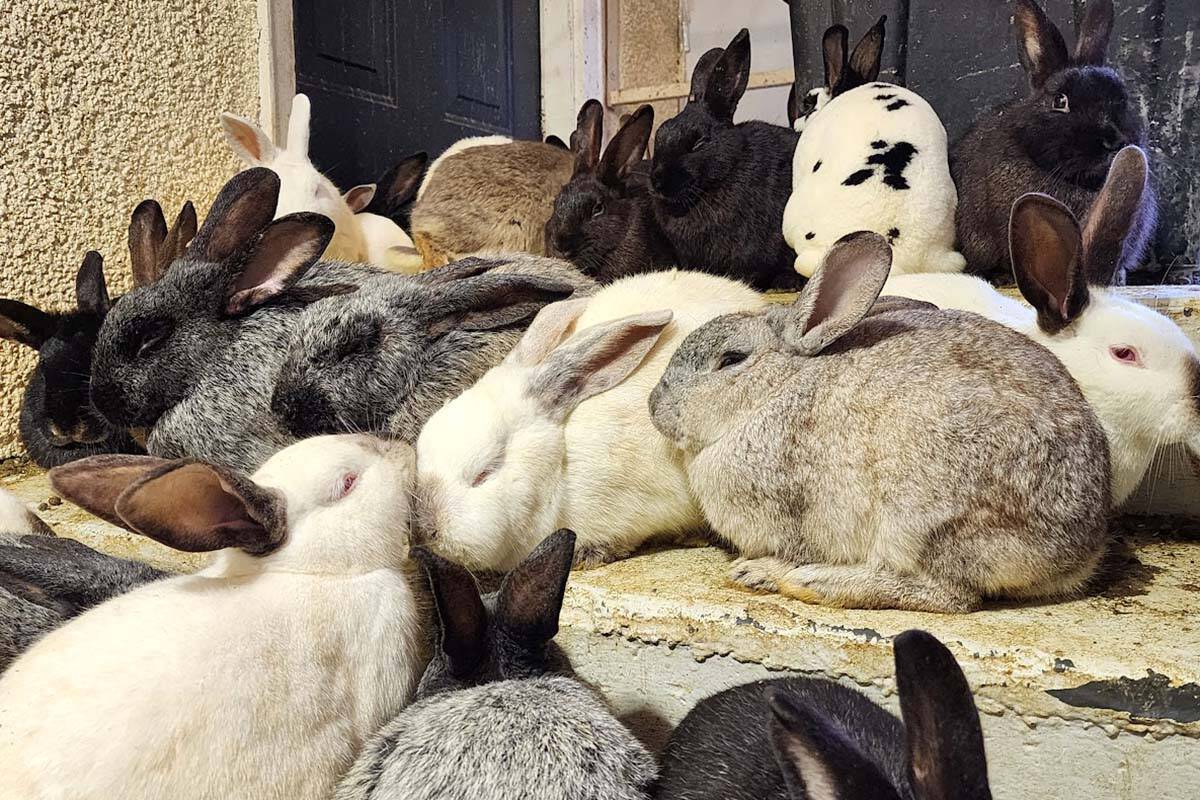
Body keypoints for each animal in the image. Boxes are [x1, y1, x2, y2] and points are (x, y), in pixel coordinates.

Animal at [647, 231, 1110, 612]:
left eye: (731, 359)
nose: (655, 406)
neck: (775, 390)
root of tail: (1078, 554)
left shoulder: (798, 516)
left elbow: (793, 551)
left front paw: (756, 571)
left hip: (923, 518)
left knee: (949, 595)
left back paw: (814, 584)